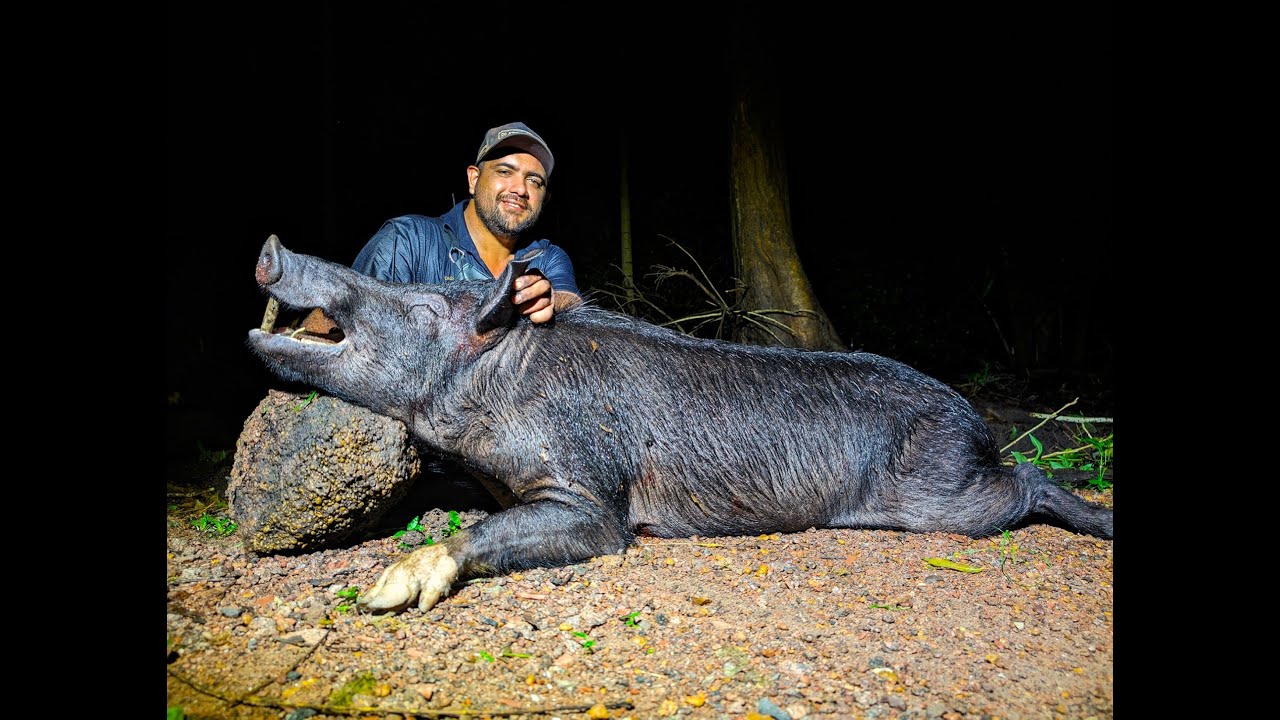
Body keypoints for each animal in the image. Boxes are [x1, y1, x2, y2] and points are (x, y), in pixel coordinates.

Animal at [247, 235, 1113, 614]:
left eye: (424, 306)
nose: (272, 243)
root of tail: (976, 419)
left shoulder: (590, 494)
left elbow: (558, 528)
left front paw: (385, 593)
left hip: (942, 496)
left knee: (1030, 478)